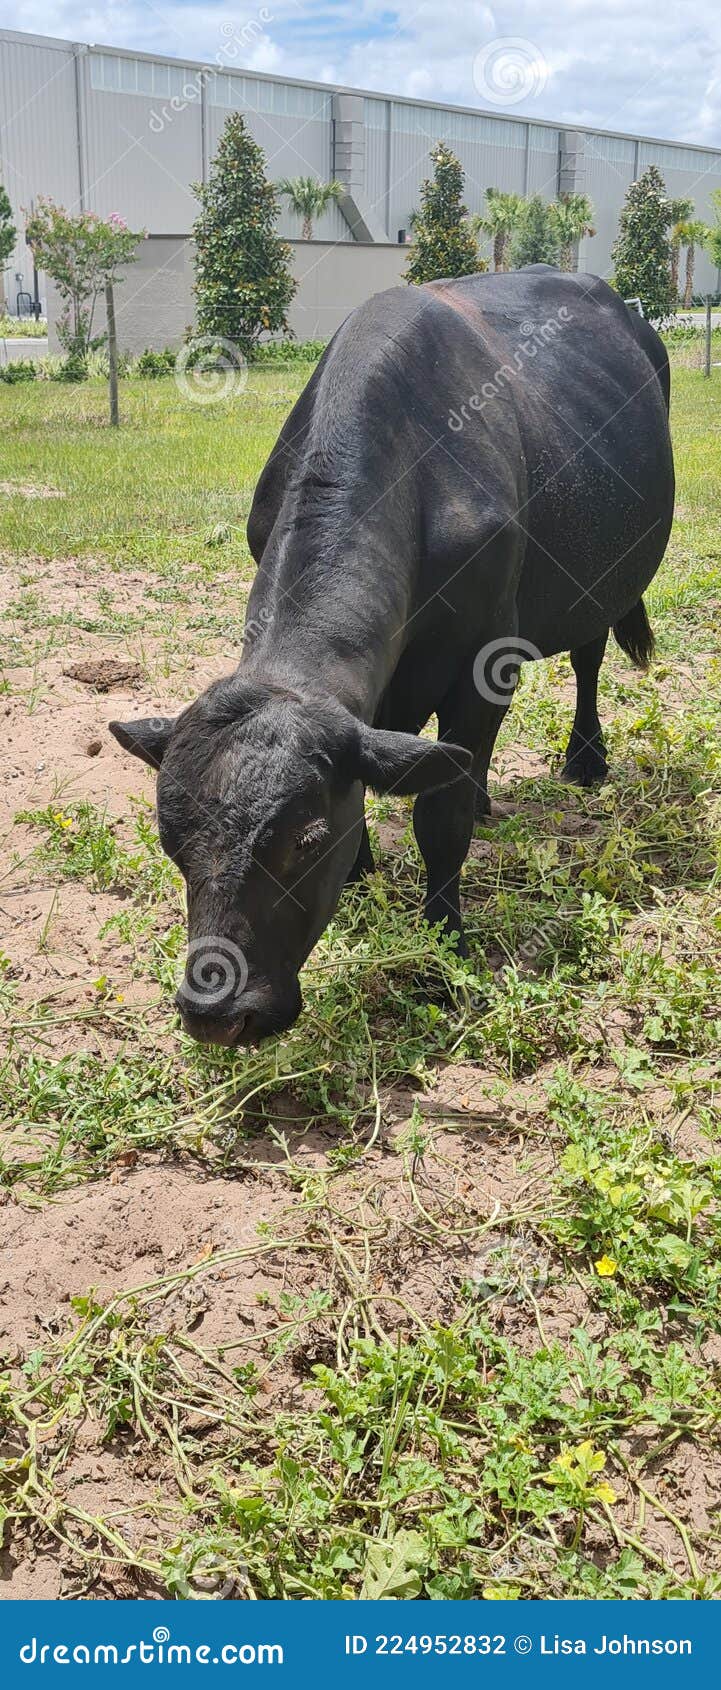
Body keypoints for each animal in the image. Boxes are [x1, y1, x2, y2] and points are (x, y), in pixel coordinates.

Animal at [110, 267, 674, 1047]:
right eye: (171, 842)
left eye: (305, 841)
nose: (214, 1013)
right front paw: (361, 879)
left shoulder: (483, 663)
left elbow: (439, 816)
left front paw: (445, 939)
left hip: (603, 580)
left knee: (586, 659)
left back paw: (585, 758)